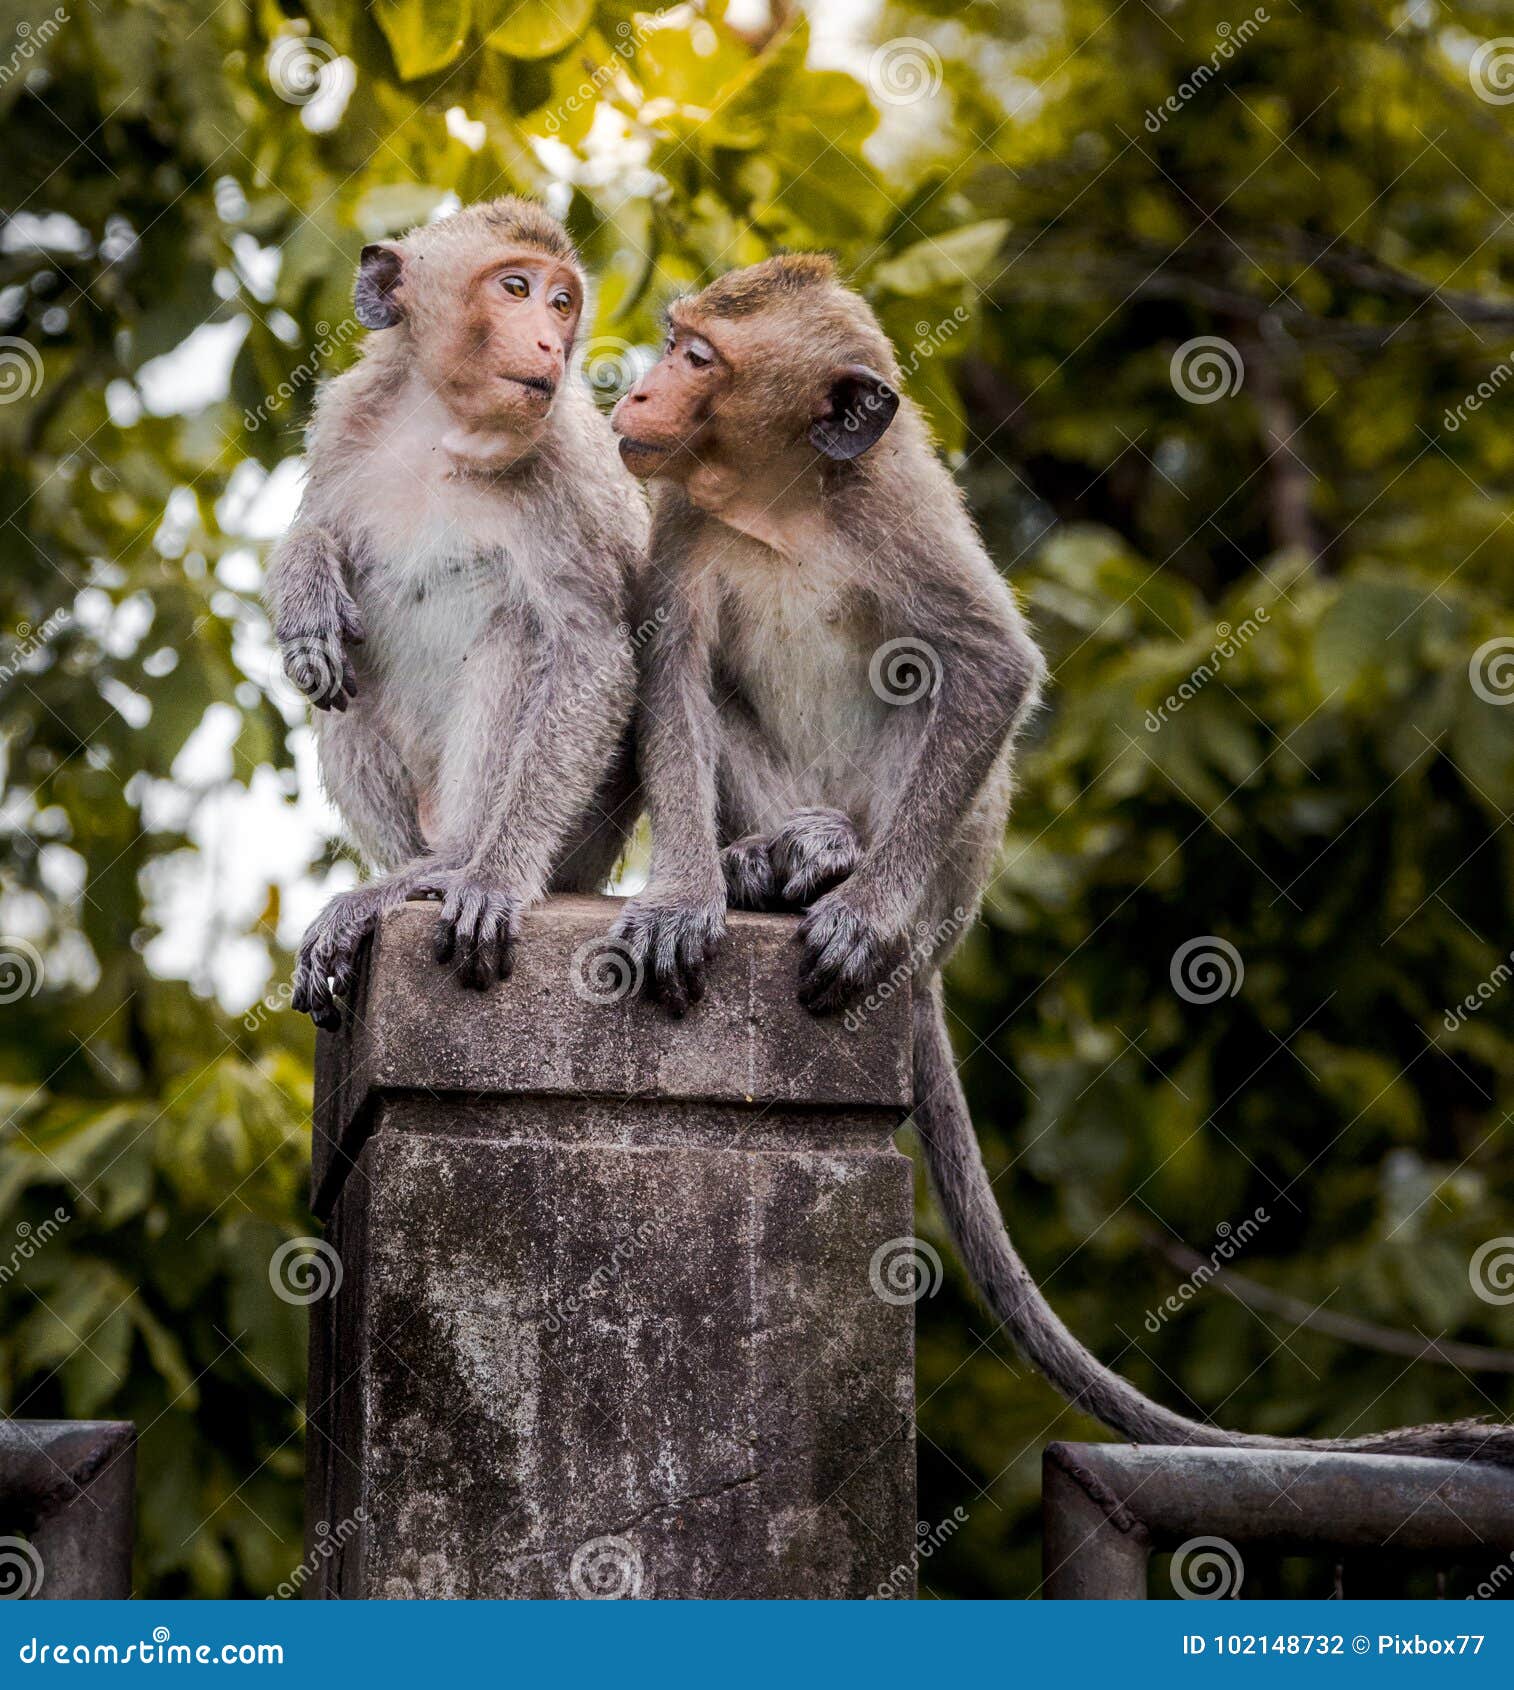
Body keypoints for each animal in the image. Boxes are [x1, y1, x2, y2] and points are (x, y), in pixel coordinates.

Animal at [263, 198, 646, 1029]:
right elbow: (316, 526)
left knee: (520, 636)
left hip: (584, 836)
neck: (439, 425)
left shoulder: (569, 464)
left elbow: (590, 653)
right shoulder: (346, 416)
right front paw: (306, 589)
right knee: (339, 684)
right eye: (515, 288)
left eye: (561, 302)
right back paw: (405, 866)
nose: (549, 341)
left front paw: (498, 876)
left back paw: (447, 865)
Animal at [603, 251, 1514, 1467]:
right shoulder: (682, 517)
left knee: (930, 693)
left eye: (697, 356)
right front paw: (687, 892)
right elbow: (671, 677)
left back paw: (843, 872)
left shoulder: (896, 510)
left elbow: (989, 665)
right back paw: (769, 859)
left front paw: (865, 914)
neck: (783, 504)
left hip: (954, 869)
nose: (638, 390)